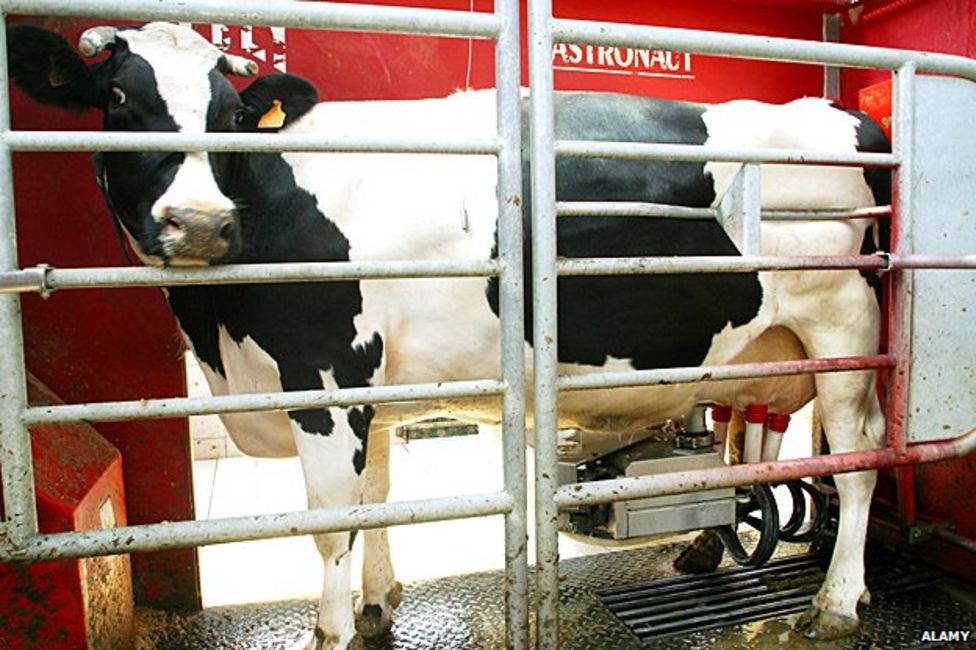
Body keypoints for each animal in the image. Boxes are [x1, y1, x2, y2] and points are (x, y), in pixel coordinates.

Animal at [8, 22, 889, 650]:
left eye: (229, 116)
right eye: (118, 101)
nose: (197, 223)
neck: (220, 339)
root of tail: (841, 113)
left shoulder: (325, 383)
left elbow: (331, 525)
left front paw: (331, 632)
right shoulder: (367, 387)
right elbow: (376, 500)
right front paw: (376, 606)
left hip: (842, 324)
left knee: (857, 457)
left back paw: (837, 602)